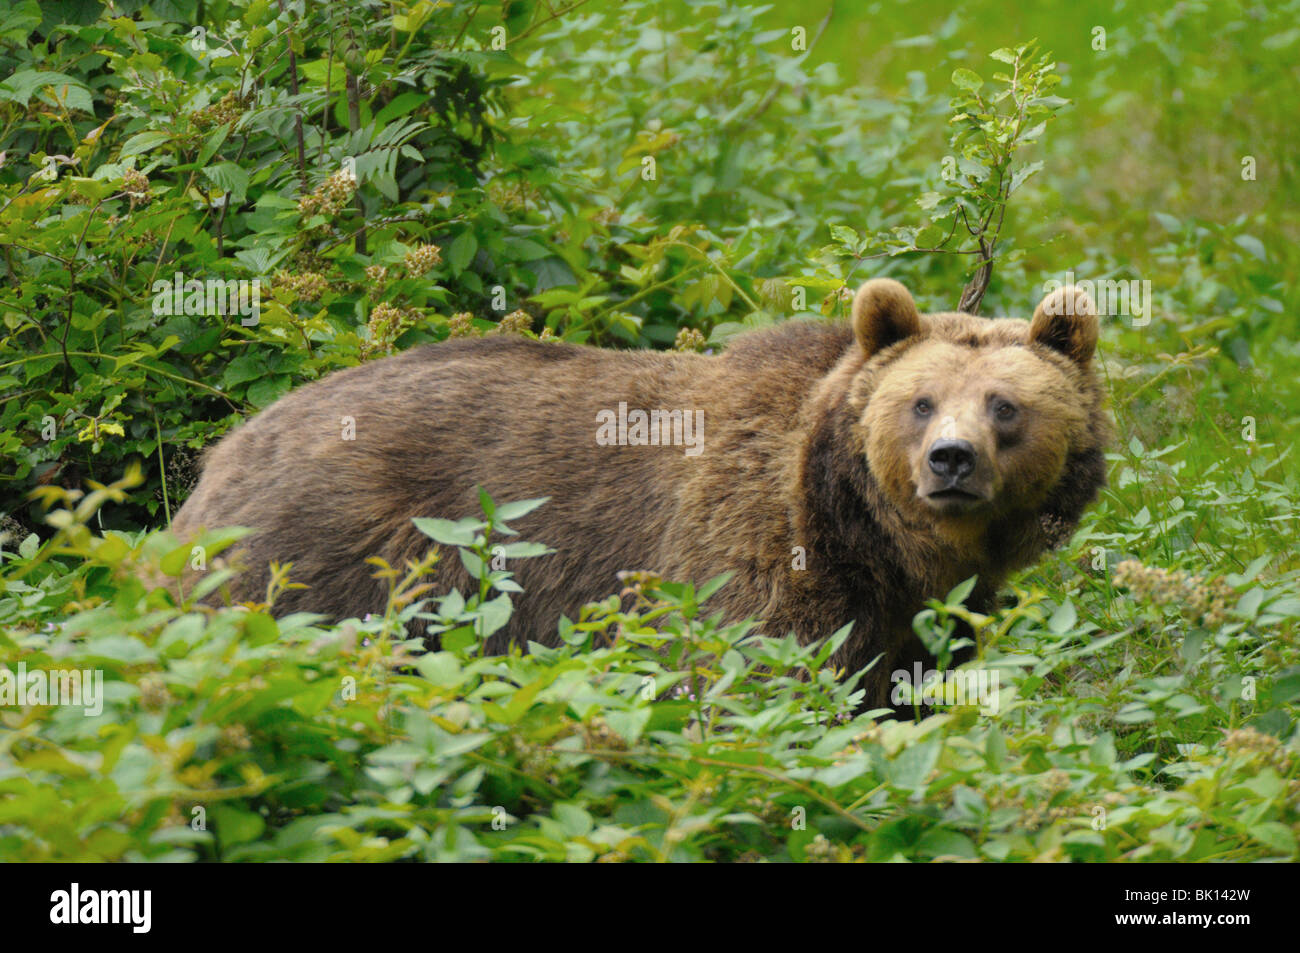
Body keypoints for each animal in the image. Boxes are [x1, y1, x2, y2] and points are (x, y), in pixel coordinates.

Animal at [170, 278, 1112, 709]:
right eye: (920, 401)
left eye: (1005, 404)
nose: (951, 460)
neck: (873, 536)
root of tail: (229, 447)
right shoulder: (753, 549)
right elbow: (758, 680)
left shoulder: (915, 612)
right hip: (325, 560)